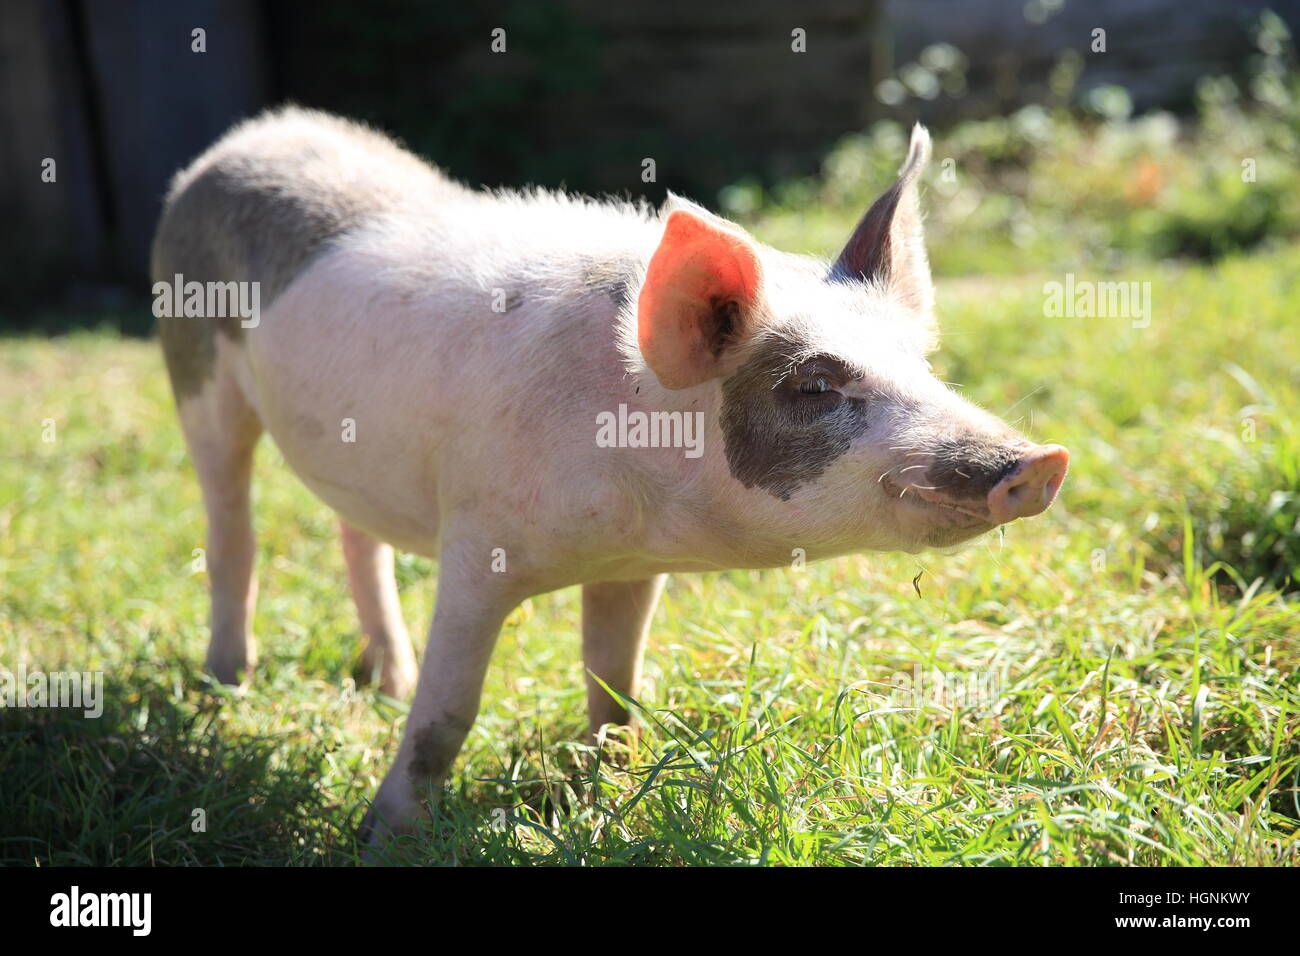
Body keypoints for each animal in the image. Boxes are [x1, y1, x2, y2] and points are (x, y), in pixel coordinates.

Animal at [152, 107, 1069, 846]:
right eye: (813, 386)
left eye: (923, 365)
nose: (1036, 462)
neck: (635, 498)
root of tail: (250, 135)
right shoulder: (477, 542)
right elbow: (447, 716)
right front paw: (383, 841)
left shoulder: (634, 568)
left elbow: (615, 685)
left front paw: (613, 790)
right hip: (193, 371)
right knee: (230, 528)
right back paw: (225, 690)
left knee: (356, 533)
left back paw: (387, 680)